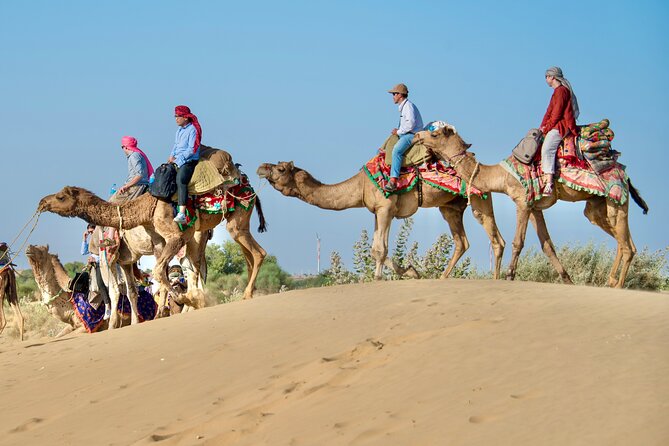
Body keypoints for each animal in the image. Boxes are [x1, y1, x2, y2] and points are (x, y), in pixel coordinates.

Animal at [38, 147, 267, 327]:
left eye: (61, 197)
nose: (42, 202)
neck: (145, 208)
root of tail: (246, 181)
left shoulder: (126, 251)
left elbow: (129, 285)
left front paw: (179, 301)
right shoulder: (138, 253)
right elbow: (135, 289)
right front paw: (139, 320)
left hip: (235, 217)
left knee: (256, 253)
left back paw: (240, 294)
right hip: (207, 230)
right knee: (207, 264)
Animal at [257, 161, 506, 279]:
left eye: (281, 169)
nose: (261, 167)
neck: (360, 185)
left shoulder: (386, 208)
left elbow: (379, 249)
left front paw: (377, 277)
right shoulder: (377, 211)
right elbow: (374, 248)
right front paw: (412, 271)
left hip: (479, 197)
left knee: (495, 239)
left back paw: (497, 278)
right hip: (450, 207)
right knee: (462, 241)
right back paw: (443, 277)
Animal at [414, 126, 649, 288]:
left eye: (435, 134)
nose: (417, 135)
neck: (501, 176)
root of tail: (624, 174)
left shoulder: (523, 202)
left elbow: (518, 241)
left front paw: (509, 275)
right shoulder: (536, 208)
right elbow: (547, 245)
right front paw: (568, 280)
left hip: (616, 198)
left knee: (627, 246)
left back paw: (618, 286)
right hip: (597, 206)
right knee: (622, 240)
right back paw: (610, 281)